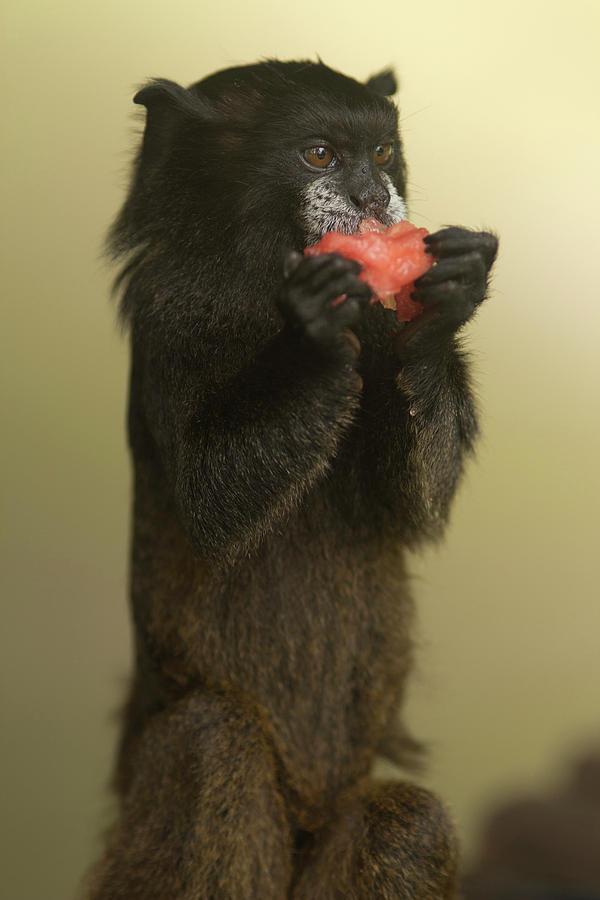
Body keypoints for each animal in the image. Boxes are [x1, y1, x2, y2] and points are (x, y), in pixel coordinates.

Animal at [85, 59, 498, 899]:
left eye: (381, 153)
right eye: (319, 156)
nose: (373, 202)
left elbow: (413, 509)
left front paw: (445, 309)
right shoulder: (169, 317)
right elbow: (211, 507)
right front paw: (315, 333)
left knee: (408, 821)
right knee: (212, 742)